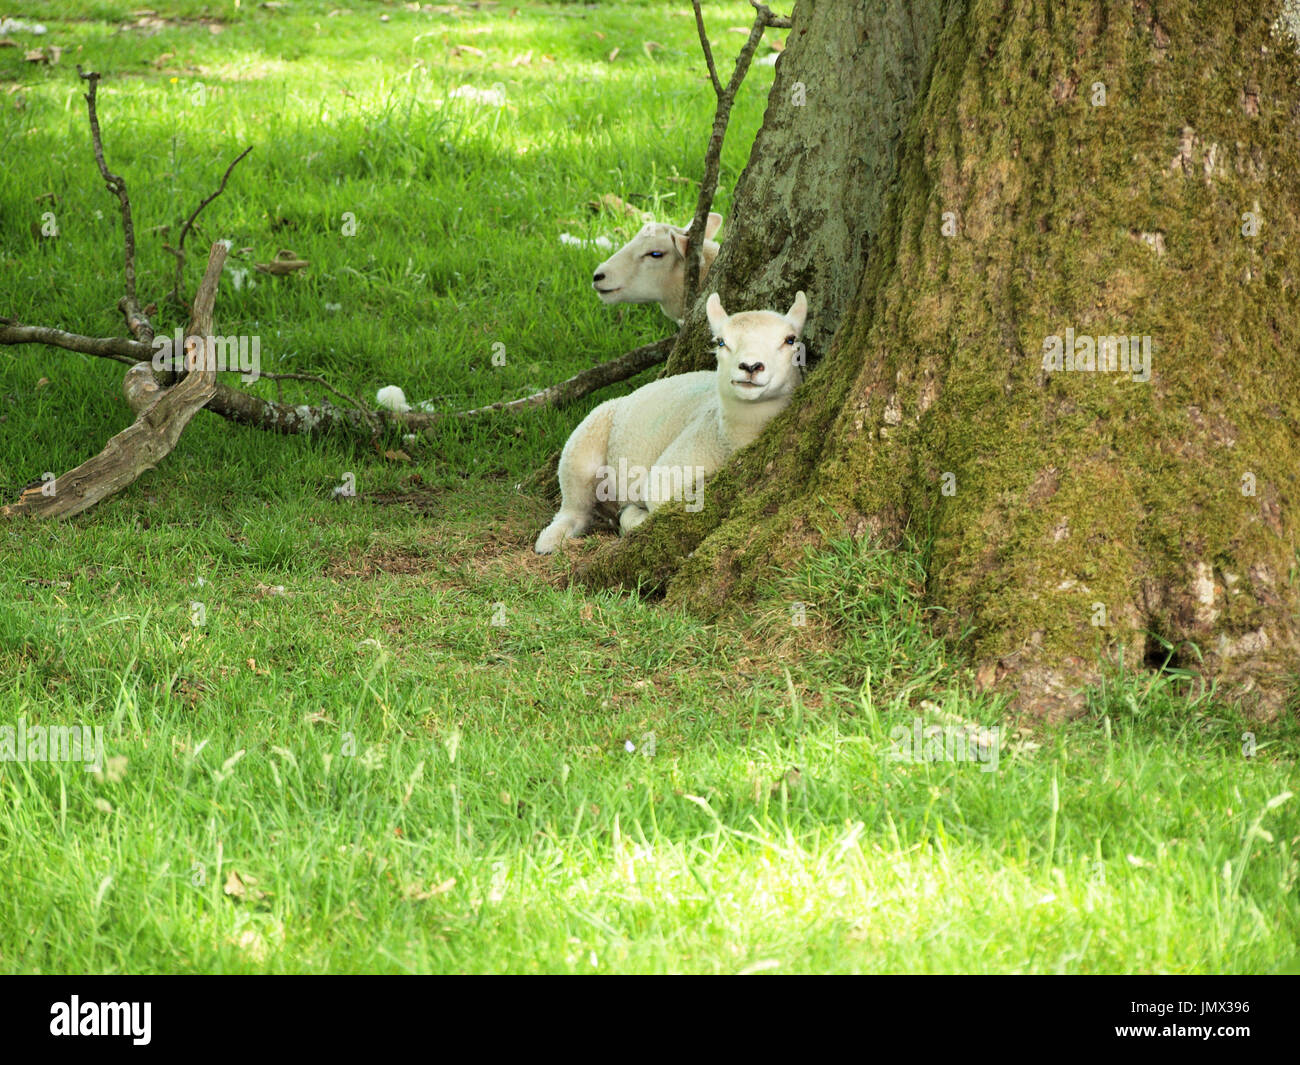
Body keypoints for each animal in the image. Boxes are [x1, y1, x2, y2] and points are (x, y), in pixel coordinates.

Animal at [535, 290, 807, 554]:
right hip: (584, 440)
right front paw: (634, 516)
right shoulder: (671, 470)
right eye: (721, 342)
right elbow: (658, 503)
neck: (729, 439)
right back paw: (551, 539)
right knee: (574, 503)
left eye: (790, 340)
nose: (750, 366)